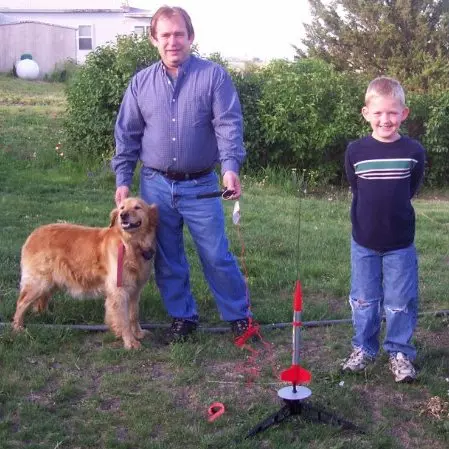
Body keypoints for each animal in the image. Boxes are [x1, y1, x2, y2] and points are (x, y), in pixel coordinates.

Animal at [12, 197, 158, 350]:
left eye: (137, 207)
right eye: (122, 207)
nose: (123, 215)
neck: (130, 244)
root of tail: (34, 233)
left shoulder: (135, 290)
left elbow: (134, 315)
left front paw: (139, 333)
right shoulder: (119, 291)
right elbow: (124, 320)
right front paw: (130, 342)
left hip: (51, 282)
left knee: (41, 301)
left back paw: (47, 316)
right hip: (39, 282)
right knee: (21, 303)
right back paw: (18, 328)